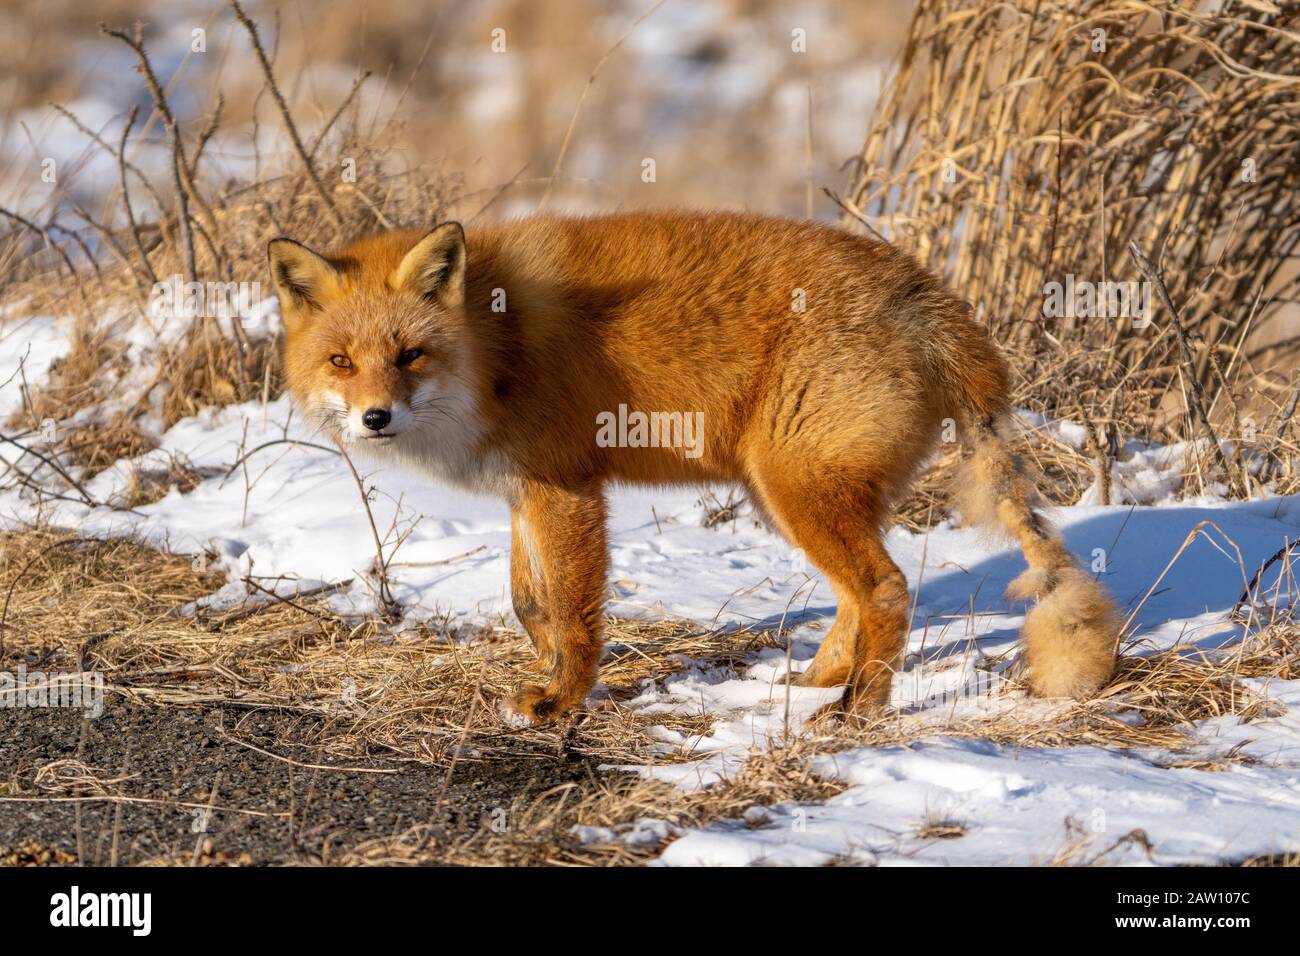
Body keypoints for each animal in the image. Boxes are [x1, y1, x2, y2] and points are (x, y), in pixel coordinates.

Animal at [268, 211, 1118, 724]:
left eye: (410, 355)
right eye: (342, 362)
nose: (376, 418)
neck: (493, 343)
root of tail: (930, 295)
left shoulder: (568, 487)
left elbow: (574, 613)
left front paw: (566, 700)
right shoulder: (523, 492)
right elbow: (529, 605)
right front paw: (542, 680)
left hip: (798, 491)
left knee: (884, 587)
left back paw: (860, 708)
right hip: (794, 495)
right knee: (859, 595)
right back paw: (817, 683)